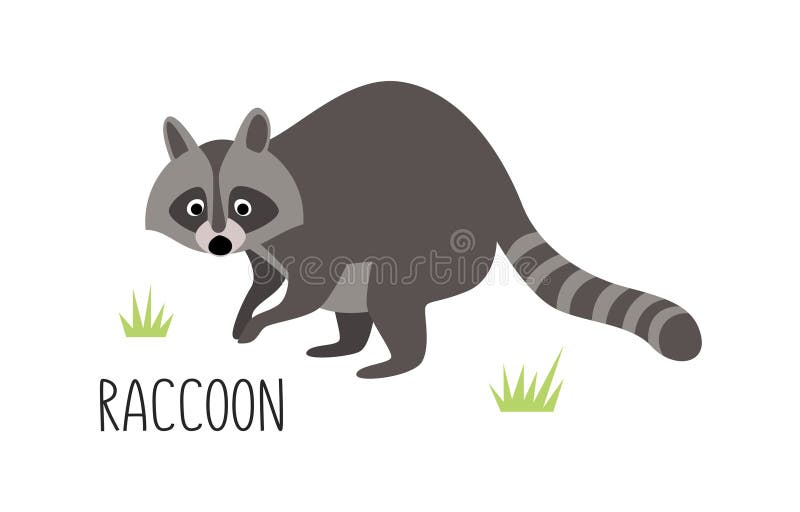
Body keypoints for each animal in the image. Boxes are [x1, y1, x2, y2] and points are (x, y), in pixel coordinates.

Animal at [146, 81, 701, 378]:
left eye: (244, 205)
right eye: (194, 207)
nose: (219, 243)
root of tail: (495, 175)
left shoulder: (315, 235)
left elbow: (306, 291)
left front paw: (266, 320)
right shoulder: (265, 247)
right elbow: (267, 280)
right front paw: (247, 310)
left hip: (443, 238)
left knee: (390, 291)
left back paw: (397, 360)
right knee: (358, 299)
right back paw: (347, 344)